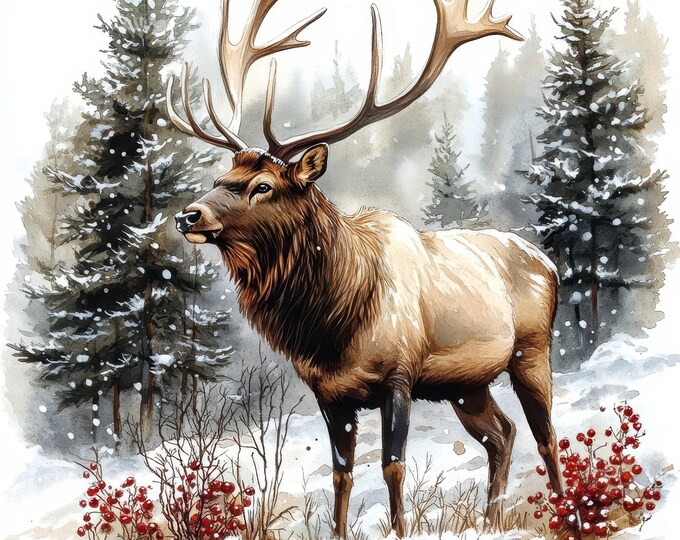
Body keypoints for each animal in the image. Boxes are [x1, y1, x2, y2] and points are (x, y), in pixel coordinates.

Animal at [168, 0, 563, 537]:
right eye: (219, 179)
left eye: (263, 186)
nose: (188, 215)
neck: (333, 321)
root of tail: (550, 264)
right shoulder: (330, 392)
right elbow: (342, 473)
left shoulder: (400, 375)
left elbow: (392, 465)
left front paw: (400, 527)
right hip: (467, 385)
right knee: (502, 435)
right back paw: (491, 520)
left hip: (531, 350)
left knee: (546, 436)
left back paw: (568, 514)